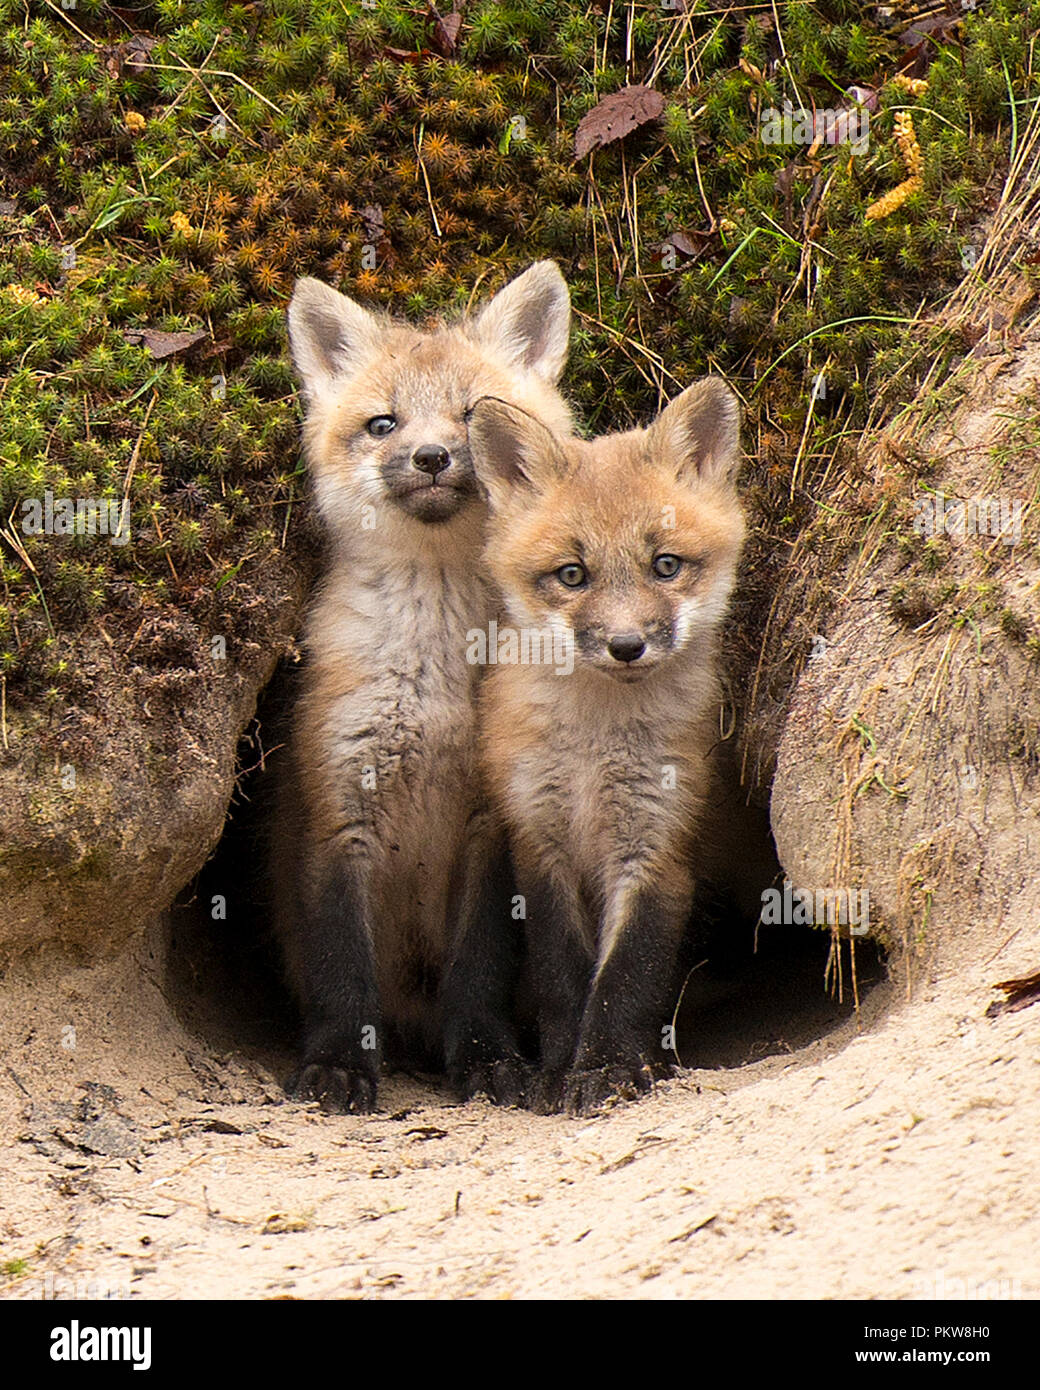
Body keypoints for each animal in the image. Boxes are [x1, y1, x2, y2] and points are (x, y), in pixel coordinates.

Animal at [275, 262, 573, 1113]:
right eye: (383, 424)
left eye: (472, 413)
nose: (435, 455)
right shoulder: (337, 808)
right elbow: (341, 969)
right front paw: (340, 1063)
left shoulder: (489, 825)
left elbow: (479, 969)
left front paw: (485, 1059)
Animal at [467, 377, 746, 1114]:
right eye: (572, 575)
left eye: (666, 565)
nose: (626, 646)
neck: (597, 751)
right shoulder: (538, 840)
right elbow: (563, 976)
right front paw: (559, 1070)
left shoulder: (658, 845)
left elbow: (628, 976)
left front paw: (610, 1068)